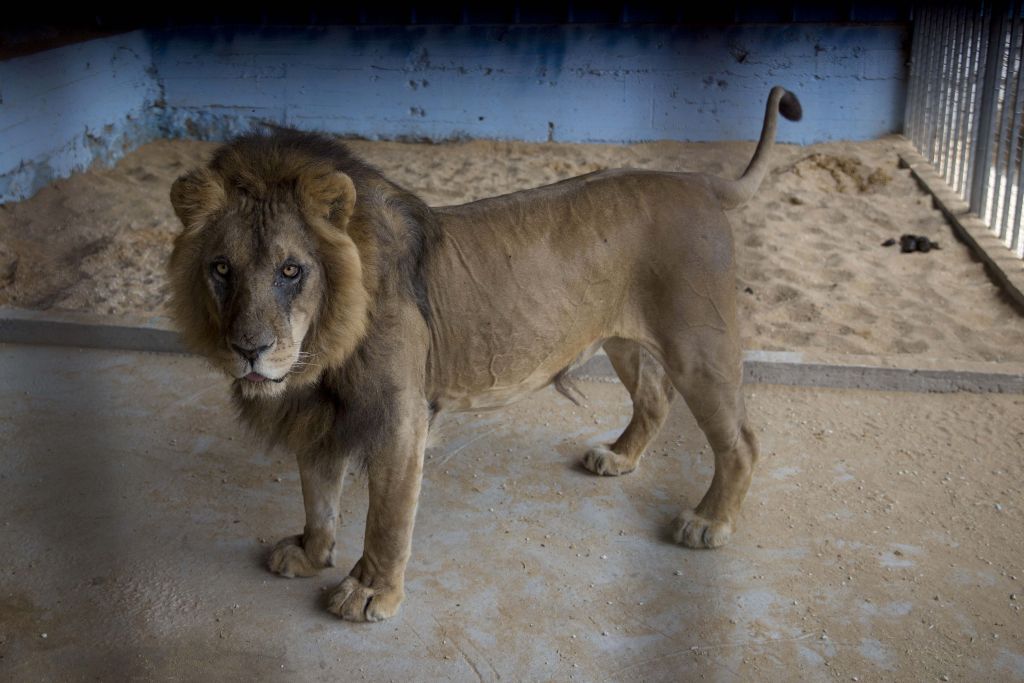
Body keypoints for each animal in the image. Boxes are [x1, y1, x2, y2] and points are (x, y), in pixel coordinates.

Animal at [168, 86, 801, 622]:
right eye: (221, 269)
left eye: (291, 270)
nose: (249, 350)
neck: (320, 353)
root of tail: (698, 180)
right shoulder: (317, 416)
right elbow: (317, 495)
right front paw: (308, 552)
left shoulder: (400, 420)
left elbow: (386, 520)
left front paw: (369, 591)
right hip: (622, 339)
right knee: (654, 398)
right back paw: (619, 458)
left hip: (699, 347)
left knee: (741, 441)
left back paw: (708, 522)